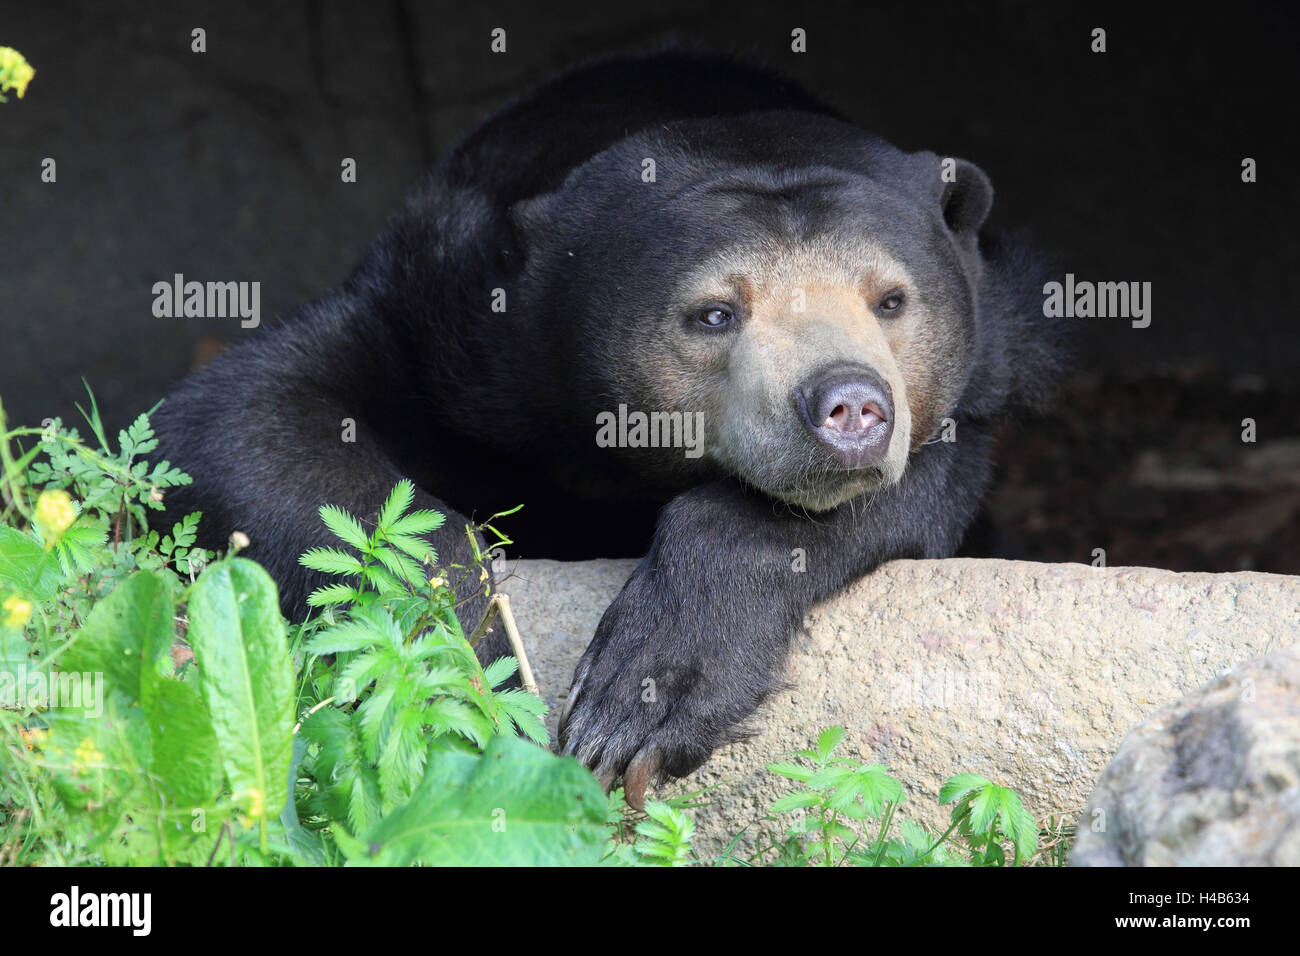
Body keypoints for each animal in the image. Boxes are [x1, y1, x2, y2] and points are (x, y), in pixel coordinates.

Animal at [152, 50, 1065, 808]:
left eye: (891, 299)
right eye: (714, 312)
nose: (849, 406)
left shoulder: (989, 367)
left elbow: (904, 490)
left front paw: (640, 704)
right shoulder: (443, 319)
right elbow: (246, 416)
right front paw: (469, 671)